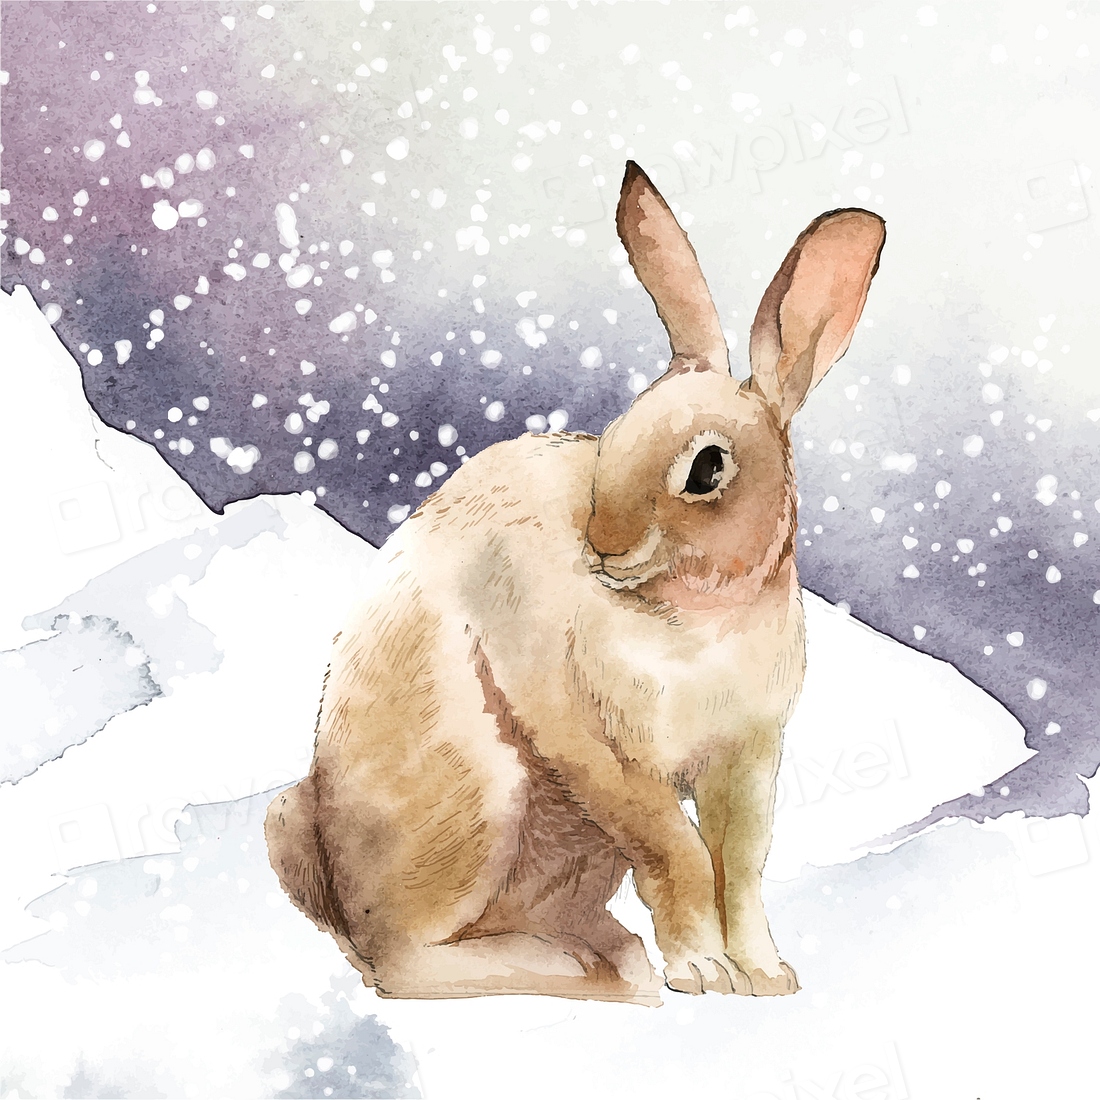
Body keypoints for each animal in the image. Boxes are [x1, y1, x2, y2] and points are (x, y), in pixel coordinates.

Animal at [266, 161, 885, 1005]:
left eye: (707, 468)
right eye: (616, 435)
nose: (602, 545)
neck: (700, 616)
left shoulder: (748, 752)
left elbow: (740, 868)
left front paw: (766, 976)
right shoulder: (596, 743)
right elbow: (678, 854)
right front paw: (703, 974)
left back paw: (612, 959)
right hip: (483, 794)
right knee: (401, 963)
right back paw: (589, 974)